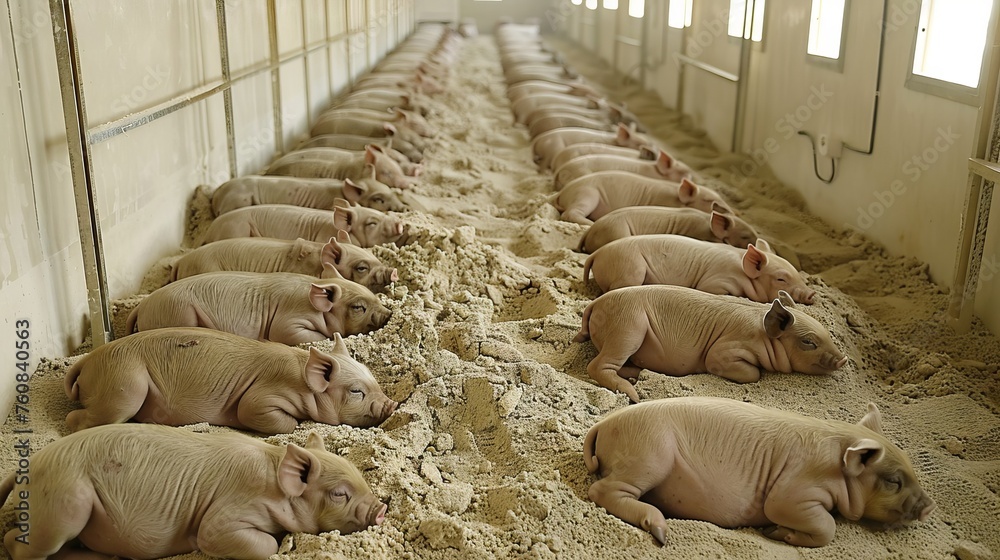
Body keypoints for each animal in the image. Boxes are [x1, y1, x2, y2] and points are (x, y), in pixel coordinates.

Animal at [0, 425, 386, 560]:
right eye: (339, 494)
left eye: (360, 477)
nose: (381, 508)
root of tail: (24, 467)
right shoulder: (226, 515)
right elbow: (237, 541)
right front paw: (283, 545)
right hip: (64, 504)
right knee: (15, 544)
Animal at [65, 328, 397, 433]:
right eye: (356, 391)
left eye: (374, 381)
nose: (391, 404)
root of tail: (85, 361)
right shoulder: (261, 398)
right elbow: (259, 414)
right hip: (123, 386)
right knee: (78, 419)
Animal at [573, 286, 847, 402]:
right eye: (808, 341)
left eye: (827, 334)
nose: (843, 358)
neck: (762, 334)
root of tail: (593, 304)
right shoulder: (723, 351)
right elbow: (752, 374)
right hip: (628, 328)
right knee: (597, 366)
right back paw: (633, 395)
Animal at [583, 235, 815, 304]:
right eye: (781, 279)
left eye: (796, 274)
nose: (811, 293)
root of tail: (597, 254)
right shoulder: (716, 281)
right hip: (630, 268)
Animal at [584, 396, 935, 547]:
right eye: (893, 481)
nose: (929, 506)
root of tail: (603, 424)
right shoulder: (794, 492)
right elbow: (826, 526)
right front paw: (775, 534)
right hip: (649, 455)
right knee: (601, 490)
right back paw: (661, 533)